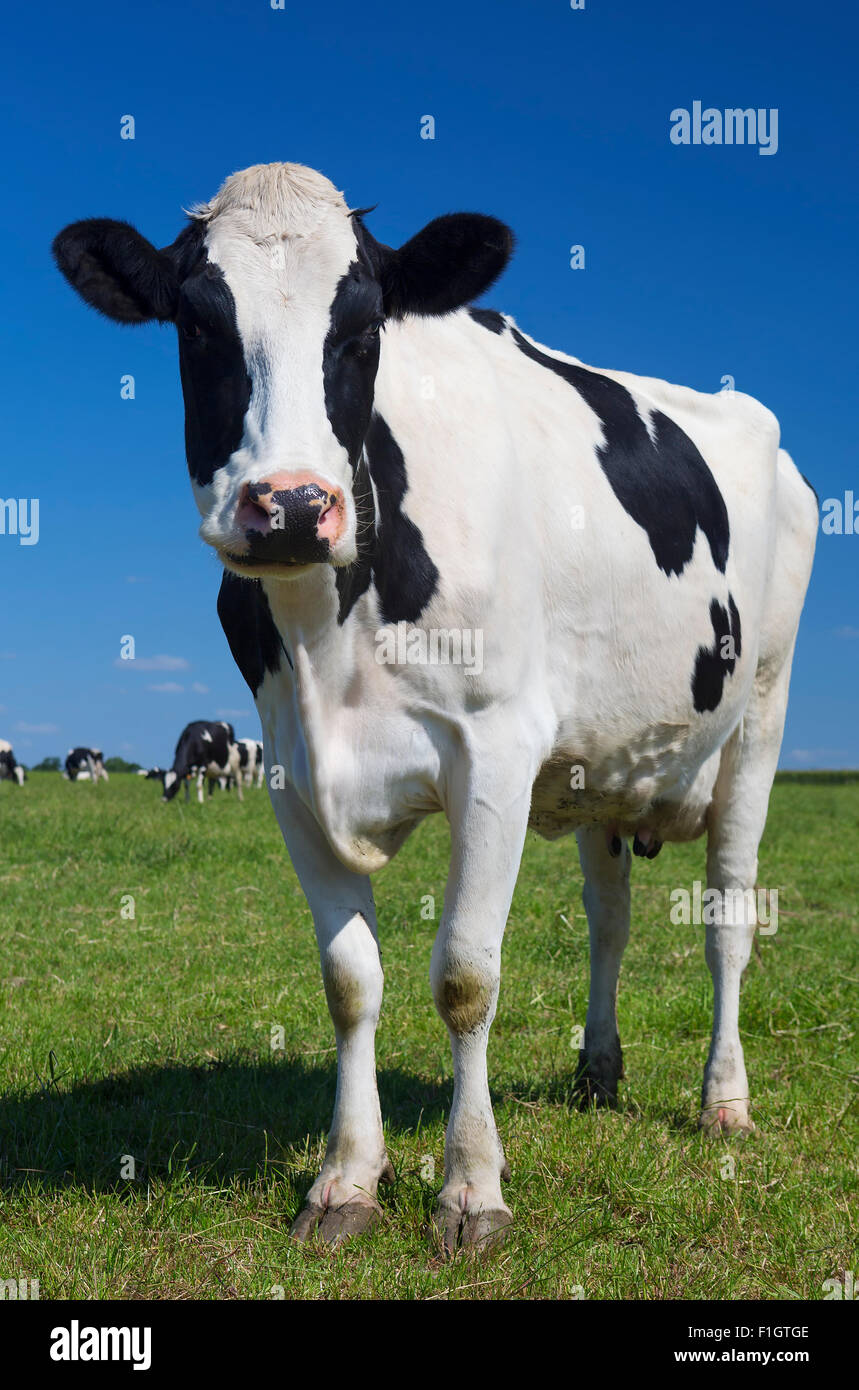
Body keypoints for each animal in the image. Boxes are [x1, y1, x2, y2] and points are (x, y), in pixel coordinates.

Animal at [54, 162, 817, 1253]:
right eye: (196, 325)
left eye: (365, 328)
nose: (291, 507)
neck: (329, 640)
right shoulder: (290, 771)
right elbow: (348, 982)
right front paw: (345, 1180)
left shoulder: (493, 751)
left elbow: (465, 976)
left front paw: (470, 1188)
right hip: (605, 760)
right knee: (610, 919)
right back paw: (597, 1070)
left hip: (758, 715)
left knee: (726, 919)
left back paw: (723, 1100)